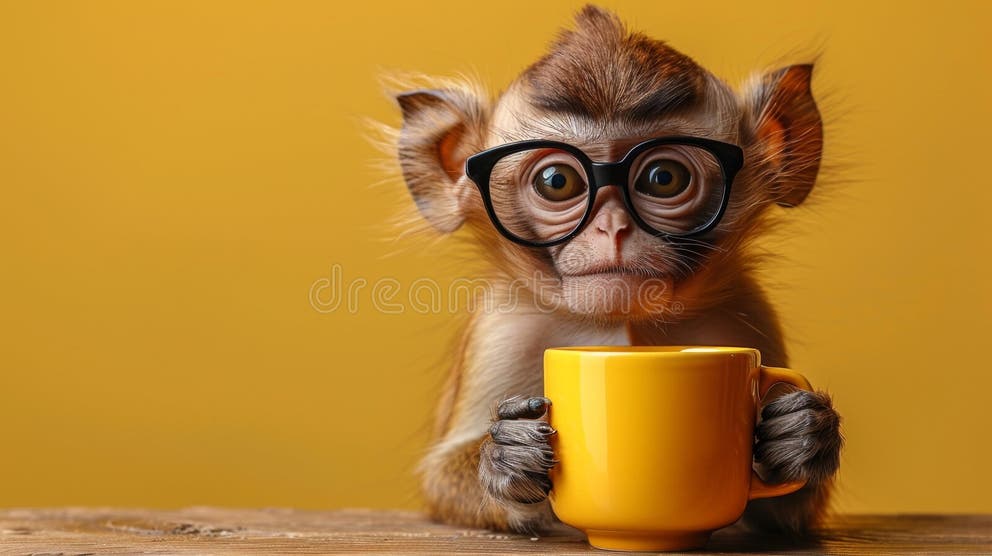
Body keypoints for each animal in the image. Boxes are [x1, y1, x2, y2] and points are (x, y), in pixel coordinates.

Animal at [392, 5, 842, 538]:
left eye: (663, 177)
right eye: (557, 181)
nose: (613, 228)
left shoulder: (747, 315)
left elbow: (784, 515)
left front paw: (797, 437)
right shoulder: (502, 329)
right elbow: (442, 480)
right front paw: (506, 459)